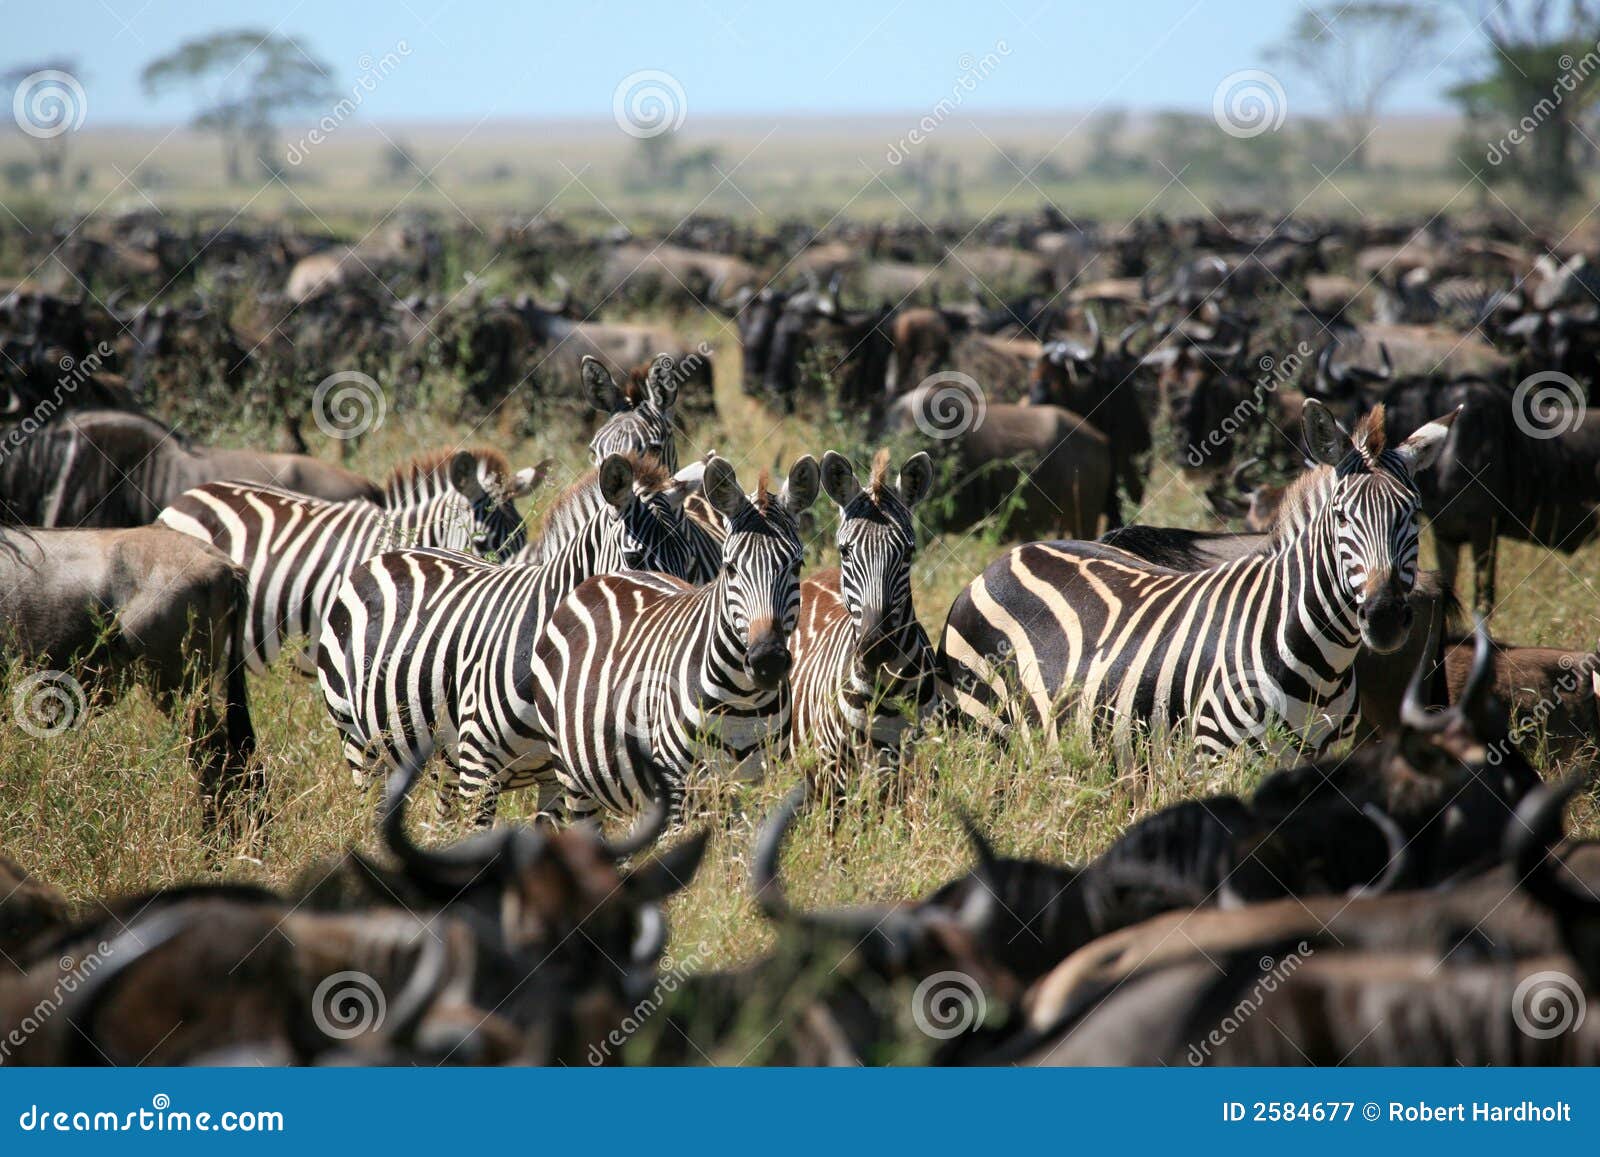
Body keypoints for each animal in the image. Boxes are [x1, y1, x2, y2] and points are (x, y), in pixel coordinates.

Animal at [315, 451, 705, 825]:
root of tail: (389, 554)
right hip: (358, 739)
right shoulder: (478, 769)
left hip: (440, 757)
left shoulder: (554, 777)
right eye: (635, 558)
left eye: (689, 562)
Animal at [530, 454, 820, 823]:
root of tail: (600, 579)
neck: (743, 699)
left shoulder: (758, 788)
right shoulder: (678, 788)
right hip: (572, 775)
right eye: (730, 567)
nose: (767, 661)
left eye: (797, 566)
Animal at [938, 401, 1458, 758]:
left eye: (1413, 514)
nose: (1384, 616)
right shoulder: (1216, 757)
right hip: (986, 729)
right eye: (1341, 516)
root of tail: (1009, 556)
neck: (1321, 665)